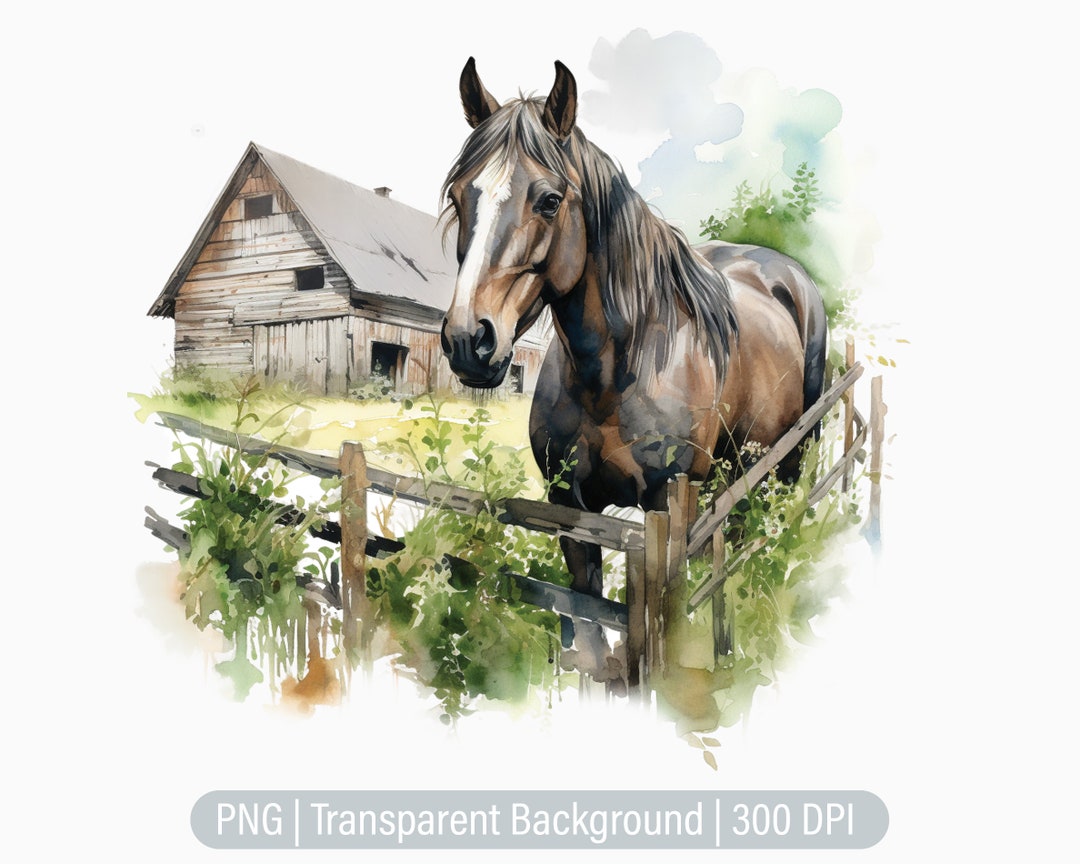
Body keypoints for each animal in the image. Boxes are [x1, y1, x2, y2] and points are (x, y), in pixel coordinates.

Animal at [439, 58, 828, 669]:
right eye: (459, 198)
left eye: (549, 200)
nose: (467, 339)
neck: (613, 374)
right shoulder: (570, 509)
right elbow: (590, 628)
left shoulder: (664, 514)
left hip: (786, 463)